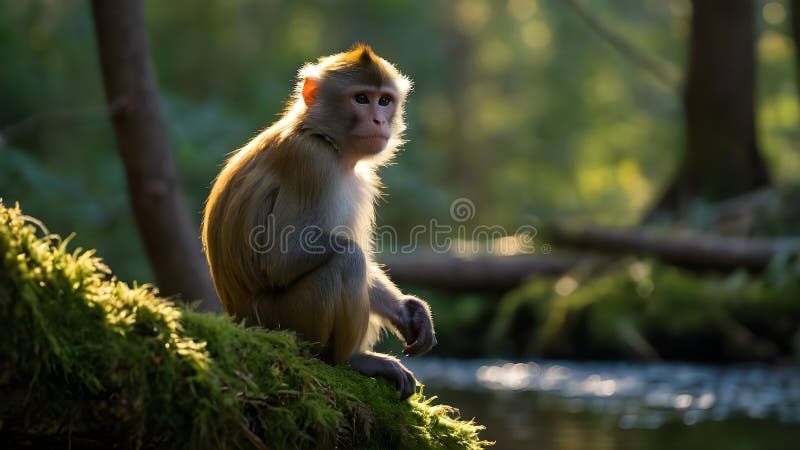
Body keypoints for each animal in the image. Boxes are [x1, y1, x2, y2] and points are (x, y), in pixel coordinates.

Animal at [202, 44, 436, 400]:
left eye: (384, 100)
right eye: (361, 99)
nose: (379, 120)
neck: (324, 138)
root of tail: (241, 320)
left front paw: (408, 310)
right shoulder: (311, 163)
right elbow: (280, 259)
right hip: (287, 321)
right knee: (347, 260)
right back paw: (350, 359)